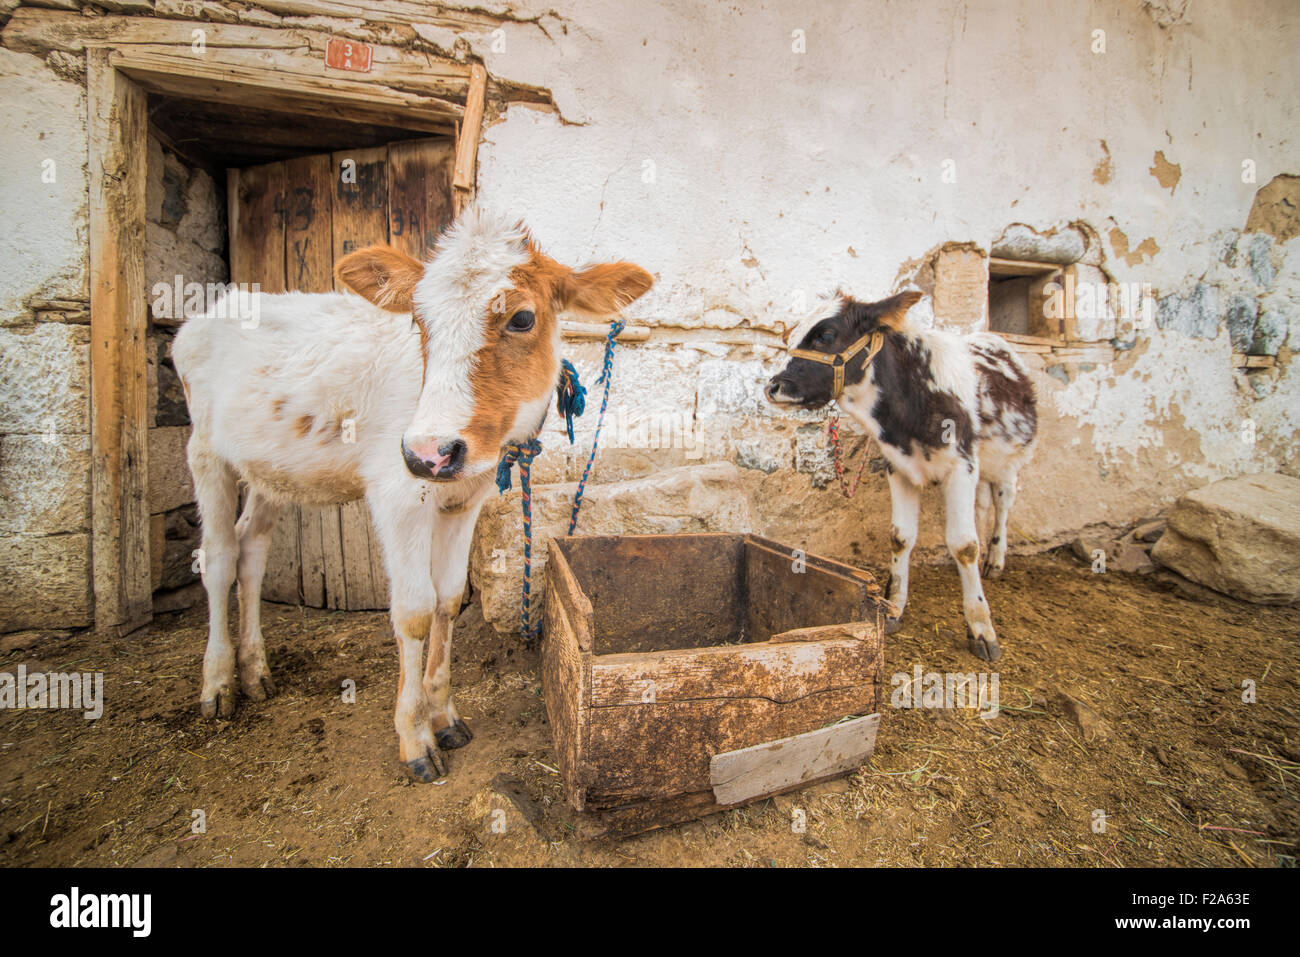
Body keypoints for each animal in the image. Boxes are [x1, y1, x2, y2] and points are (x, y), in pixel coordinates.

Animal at [171, 207, 654, 781]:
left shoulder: (466, 497)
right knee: (219, 556)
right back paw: (219, 682)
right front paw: (415, 737)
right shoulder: (398, 492)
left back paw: (254, 669)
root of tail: (209, 313)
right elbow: (416, 610)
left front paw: (444, 715)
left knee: (252, 546)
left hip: (272, 466)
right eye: (418, 321)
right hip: (205, 449)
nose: (431, 453)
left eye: (521, 319)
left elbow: (448, 598)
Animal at [764, 290, 1037, 662]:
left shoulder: (962, 464)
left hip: (1010, 460)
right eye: (790, 337)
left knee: (1004, 500)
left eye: (826, 335)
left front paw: (981, 626)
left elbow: (964, 545)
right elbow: (901, 537)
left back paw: (995, 559)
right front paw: (894, 607)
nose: (773, 386)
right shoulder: (899, 466)